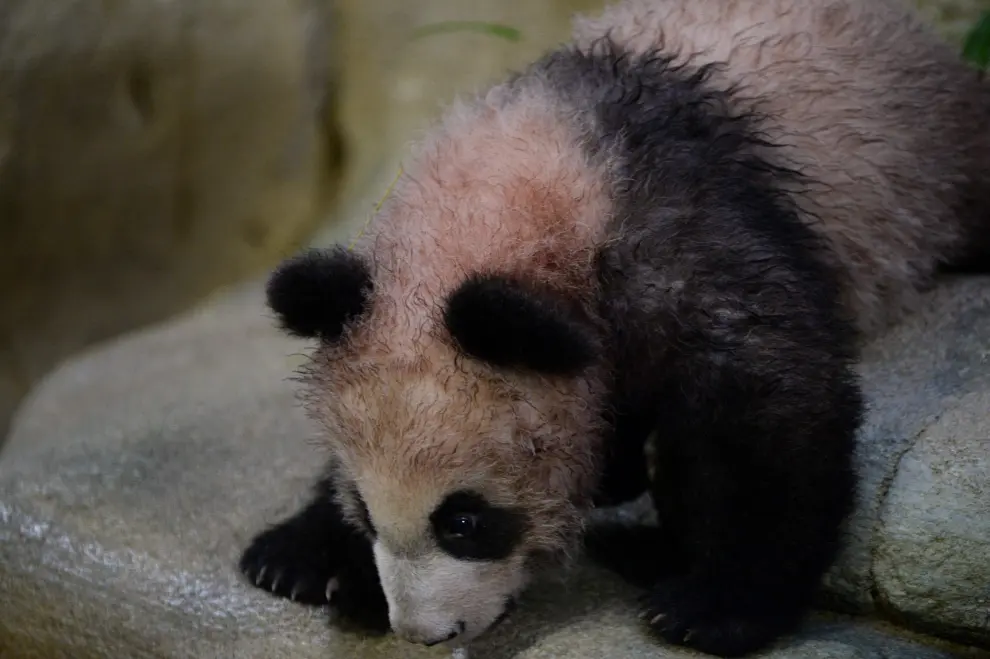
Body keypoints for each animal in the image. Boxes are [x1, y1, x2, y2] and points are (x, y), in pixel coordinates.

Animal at [238, 0, 990, 656]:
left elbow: (765, 402)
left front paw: (714, 608)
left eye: (465, 521)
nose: (427, 633)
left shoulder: (681, 229)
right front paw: (303, 556)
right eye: (366, 513)